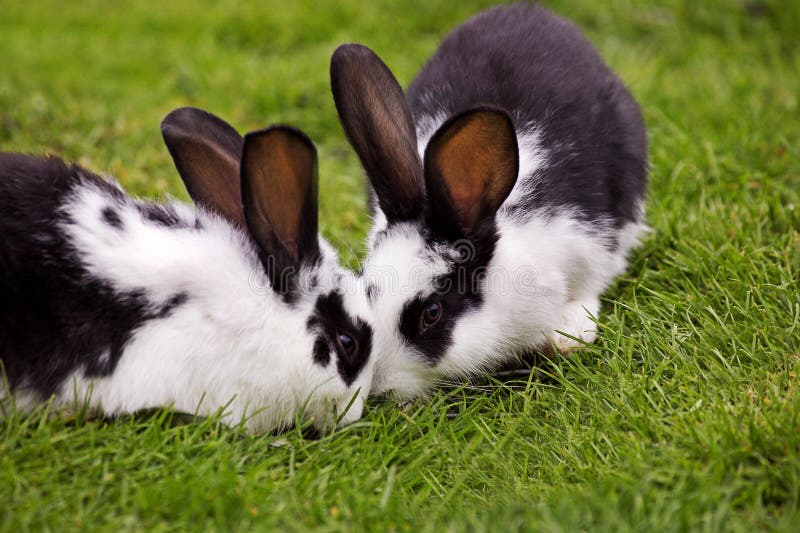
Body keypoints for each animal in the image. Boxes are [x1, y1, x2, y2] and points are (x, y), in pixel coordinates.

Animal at [329, 3, 648, 398]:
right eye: (366, 288)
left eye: (432, 313)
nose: (380, 387)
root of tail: (528, 11)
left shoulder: (590, 244)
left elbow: (593, 282)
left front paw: (569, 335)